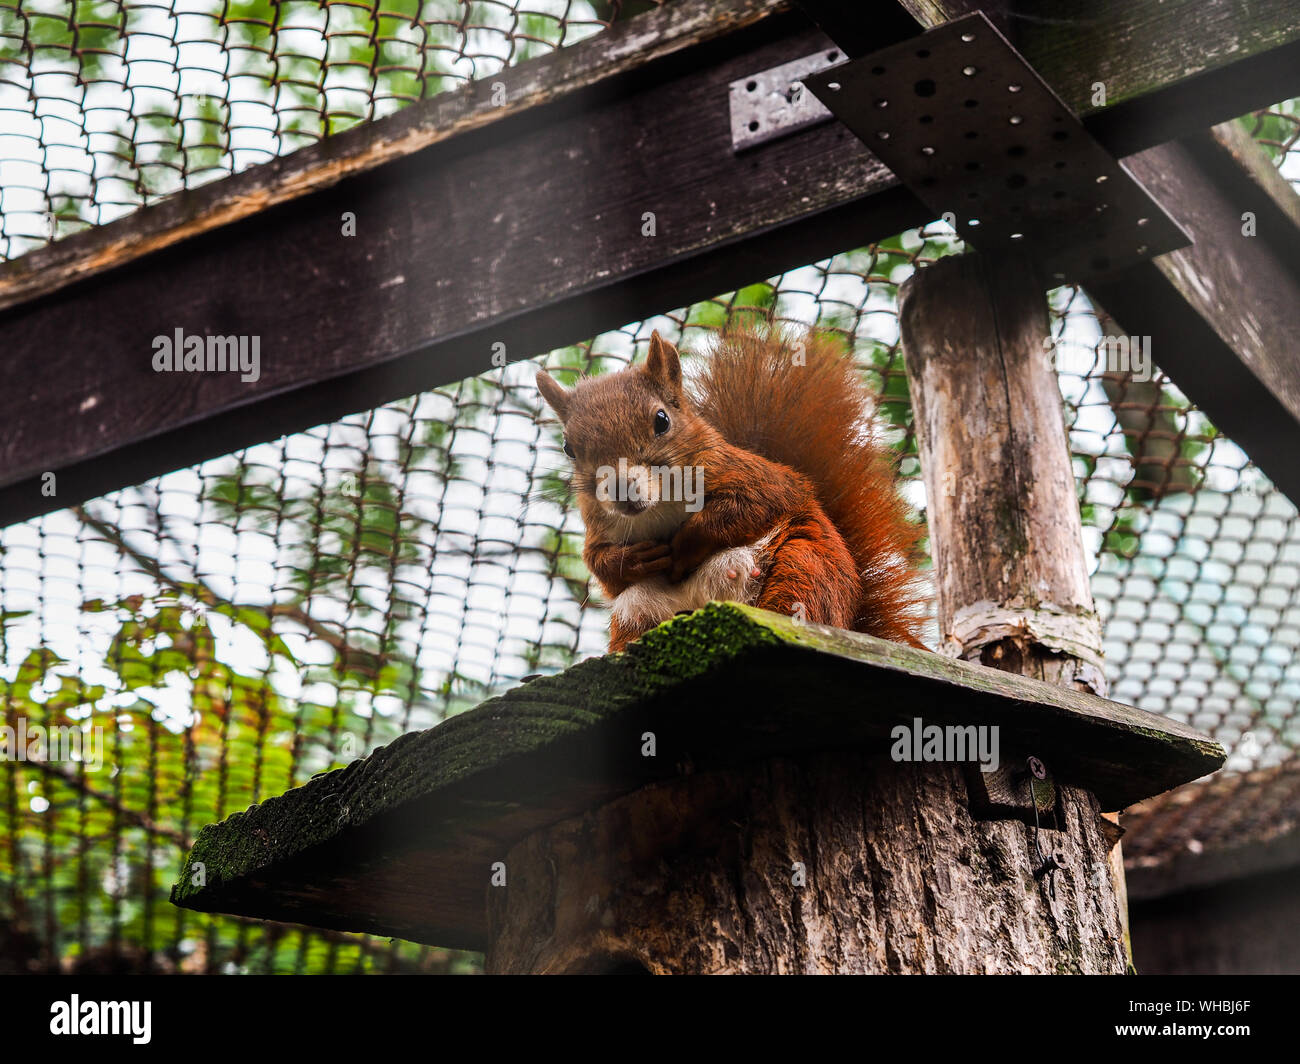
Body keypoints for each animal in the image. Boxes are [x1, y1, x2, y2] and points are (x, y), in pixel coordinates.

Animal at [536, 326, 927, 652]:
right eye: (569, 448)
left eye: (661, 420)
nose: (621, 491)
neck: (660, 505)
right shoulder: (599, 526)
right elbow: (601, 565)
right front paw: (636, 559)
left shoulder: (758, 478)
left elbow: (750, 508)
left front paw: (684, 545)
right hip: (634, 615)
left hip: (804, 567)